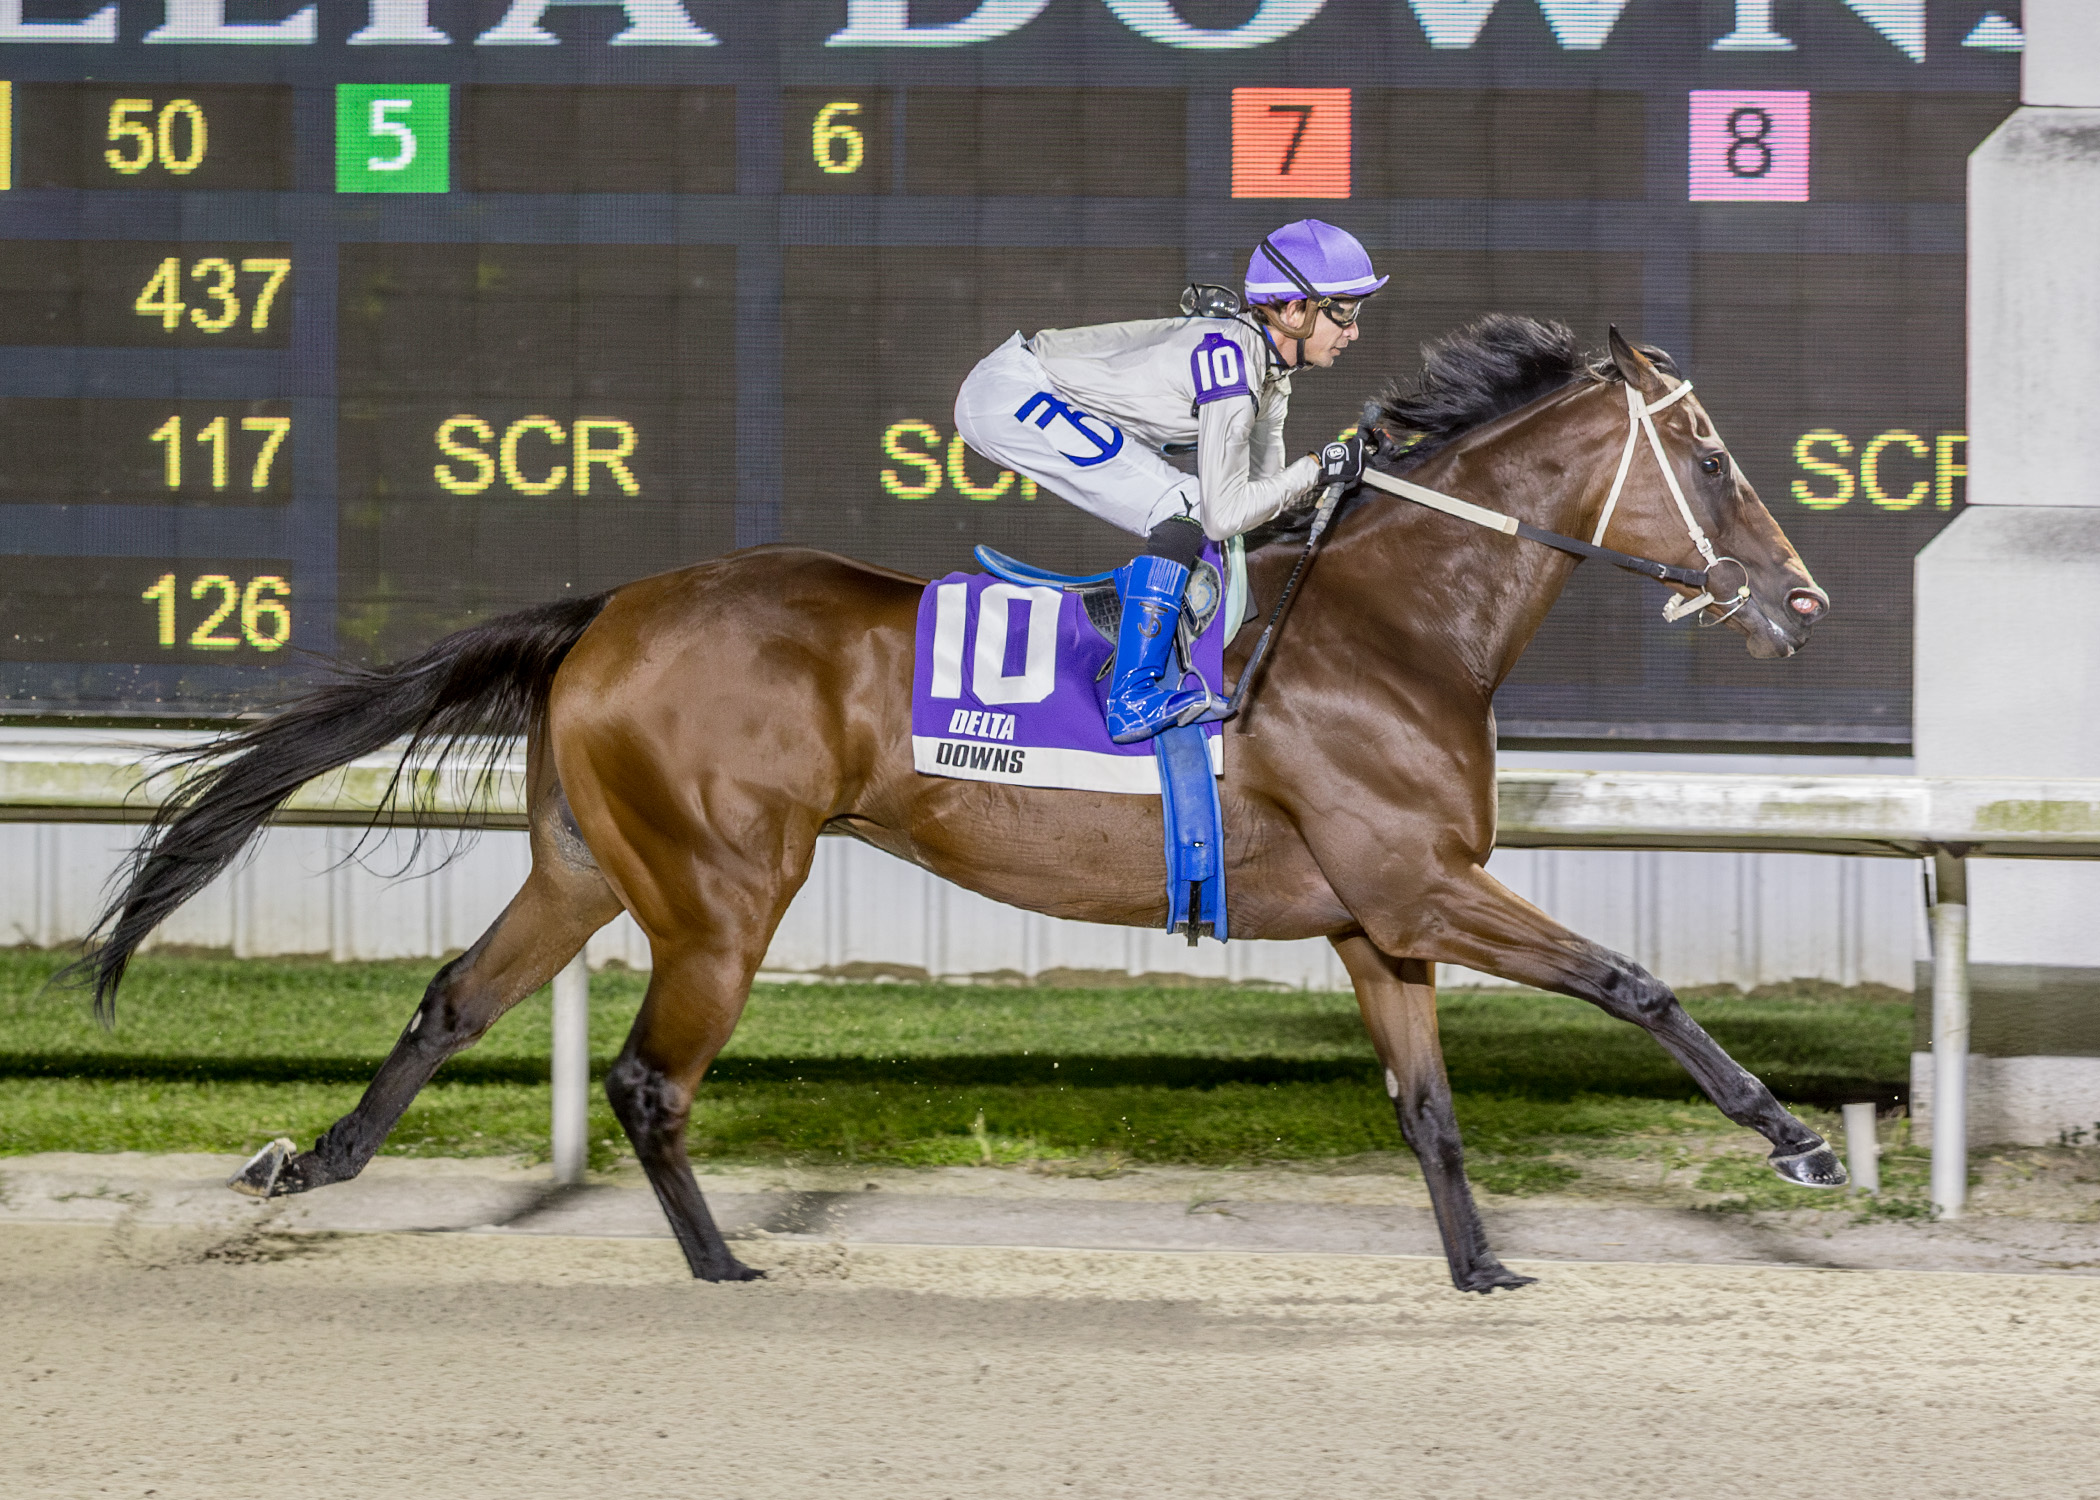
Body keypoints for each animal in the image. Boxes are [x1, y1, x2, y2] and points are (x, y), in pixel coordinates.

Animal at [76, 317, 1838, 1290]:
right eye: (1713, 461)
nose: (1801, 599)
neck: (1399, 623)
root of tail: (612, 607)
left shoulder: (1375, 923)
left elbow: (1431, 1111)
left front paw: (1484, 1268)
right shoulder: (1420, 887)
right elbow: (1635, 981)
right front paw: (1800, 1142)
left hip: (586, 868)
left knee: (453, 1000)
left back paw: (309, 1166)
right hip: (724, 893)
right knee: (649, 1080)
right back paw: (719, 1260)